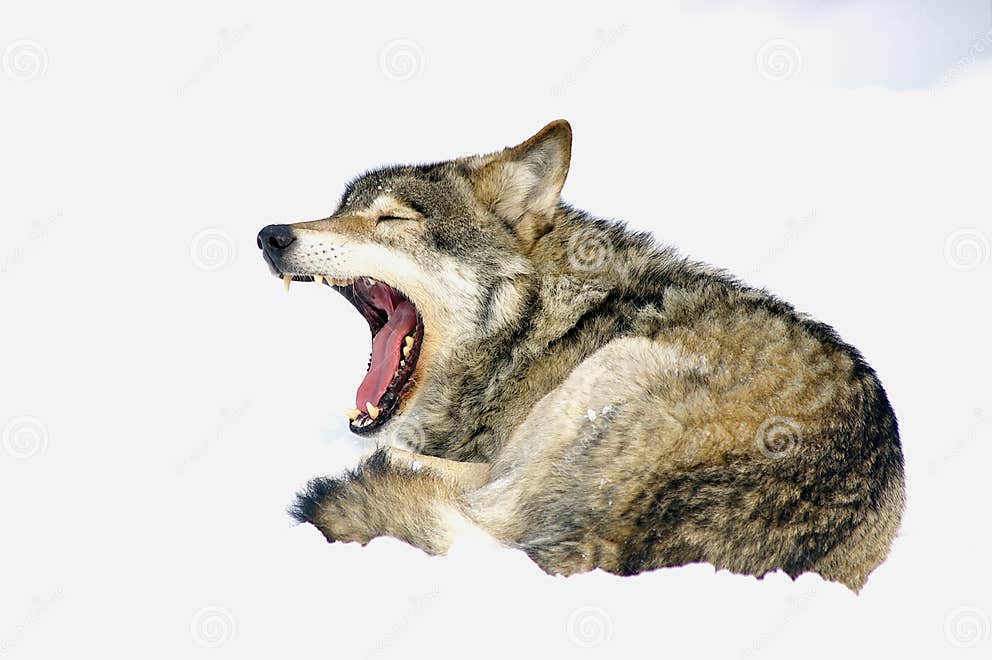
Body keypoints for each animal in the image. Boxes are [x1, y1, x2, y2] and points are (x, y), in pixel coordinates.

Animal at [257, 120, 904, 591]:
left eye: (390, 218)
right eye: (340, 209)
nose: (271, 235)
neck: (533, 321)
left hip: (613, 369)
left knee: (463, 493)